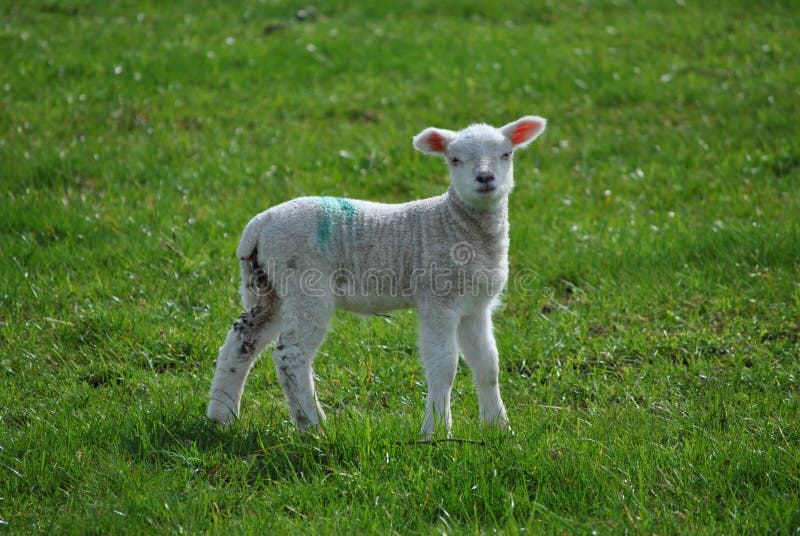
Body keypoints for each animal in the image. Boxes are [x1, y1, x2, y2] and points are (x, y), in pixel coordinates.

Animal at [206, 115, 547, 437]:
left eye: (506, 154)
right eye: (454, 159)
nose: (485, 178)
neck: (455, 224)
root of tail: (259, 224)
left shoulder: (476, 306)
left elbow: (487, 365)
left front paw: (499, 429)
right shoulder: (437, 298)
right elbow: (444, 366)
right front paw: (436, 431)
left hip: (272, 287)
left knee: (242, 338)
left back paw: (221, 416)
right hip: (304, 282)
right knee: (291, 354)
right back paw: (314, 426)